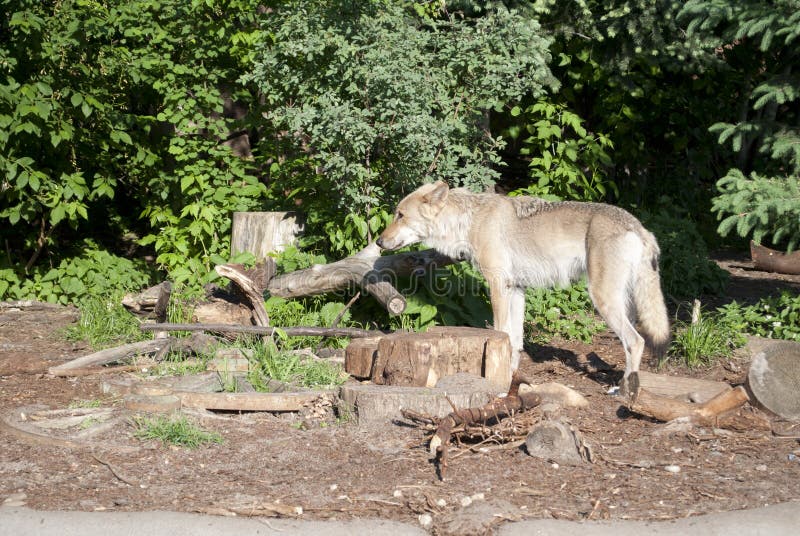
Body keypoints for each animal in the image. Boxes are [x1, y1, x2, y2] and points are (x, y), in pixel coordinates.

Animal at [376, 181, 670, 395]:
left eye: (400, 215)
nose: (379, 242)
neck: (468, 220)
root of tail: (640, 228)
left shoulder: (498, 286)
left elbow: (501, 332)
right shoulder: (516, 289)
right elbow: (515, 342)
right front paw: (511, 379)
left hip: (603, 300)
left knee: (636, 341)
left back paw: (624, 391)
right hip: (625, 304)